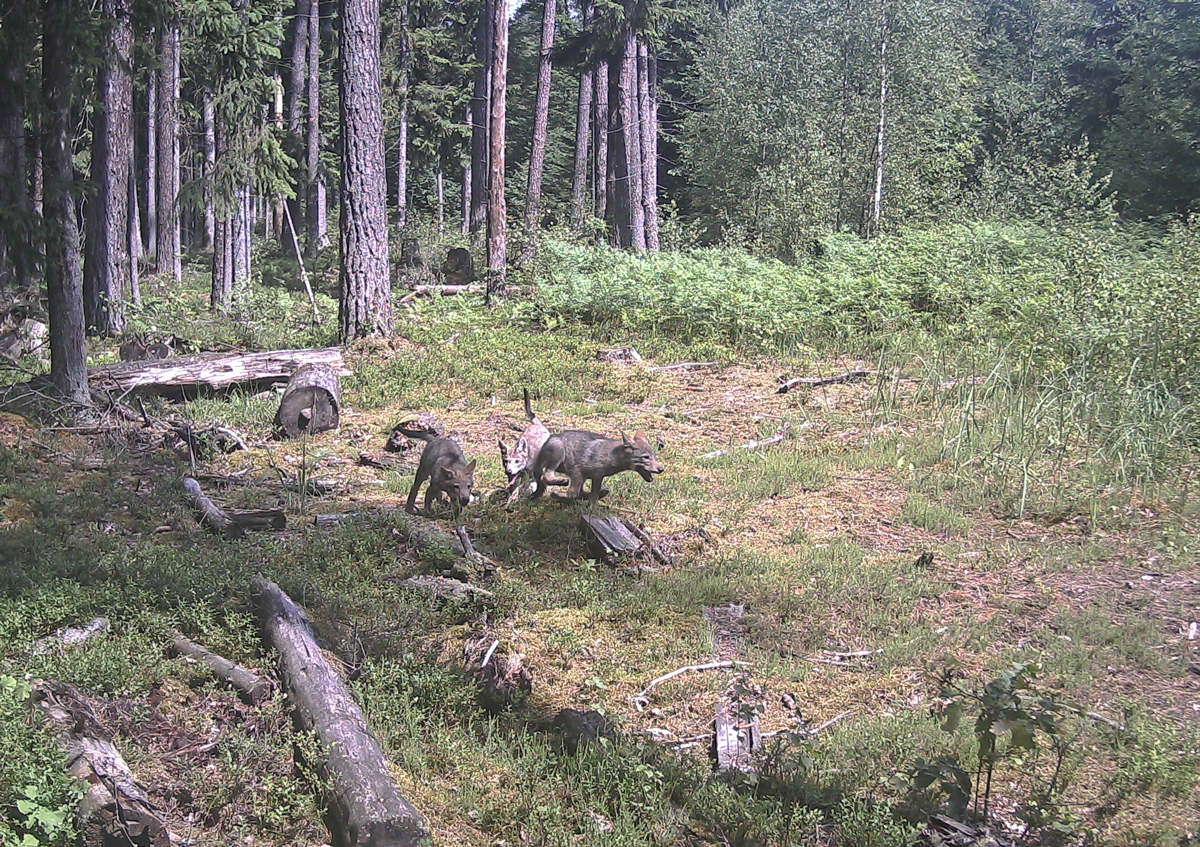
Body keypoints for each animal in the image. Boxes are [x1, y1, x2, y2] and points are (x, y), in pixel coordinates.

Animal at [530, 430, 664, 504]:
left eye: (654, 457)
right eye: (646, 457)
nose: (661, 469)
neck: (610, 456)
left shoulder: (597, 477)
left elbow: (592, 497)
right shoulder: (578, 471)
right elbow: (573, 493)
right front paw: (558, 495)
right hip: (559, 452)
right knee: (546, 476)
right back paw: (560, 482)